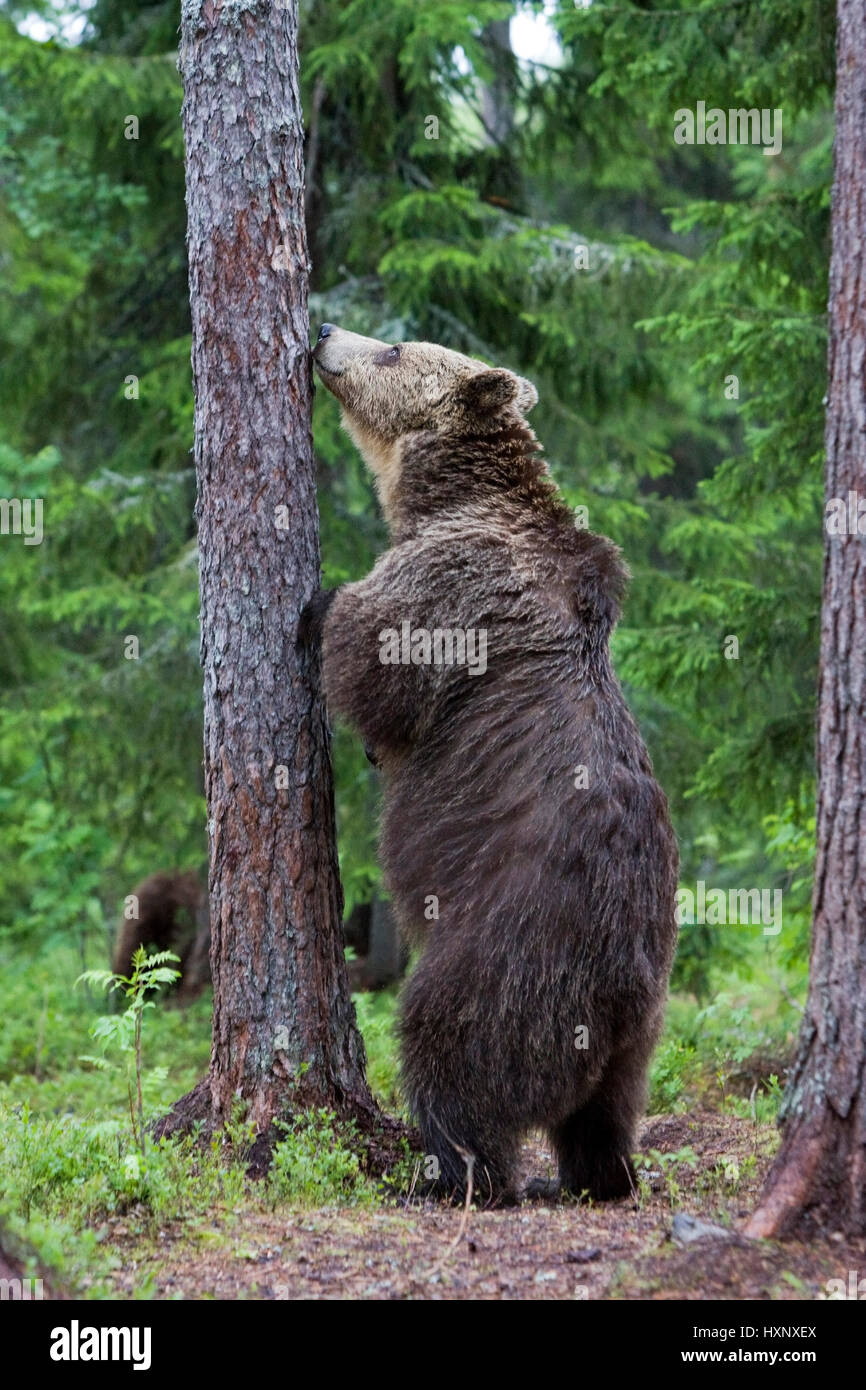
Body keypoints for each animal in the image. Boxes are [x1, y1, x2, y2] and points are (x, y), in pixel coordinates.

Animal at [303, 322, 679, 1204]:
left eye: (396, 348)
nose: (325, 330)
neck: (449, 493)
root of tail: (618, 997)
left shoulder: (455, 582)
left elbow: (381, 664)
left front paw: (321, 605)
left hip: (510, 950)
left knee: (452, 1046)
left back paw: (454, 1171)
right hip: (646, 1024)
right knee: (607, 1114)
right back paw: (597, 1174)